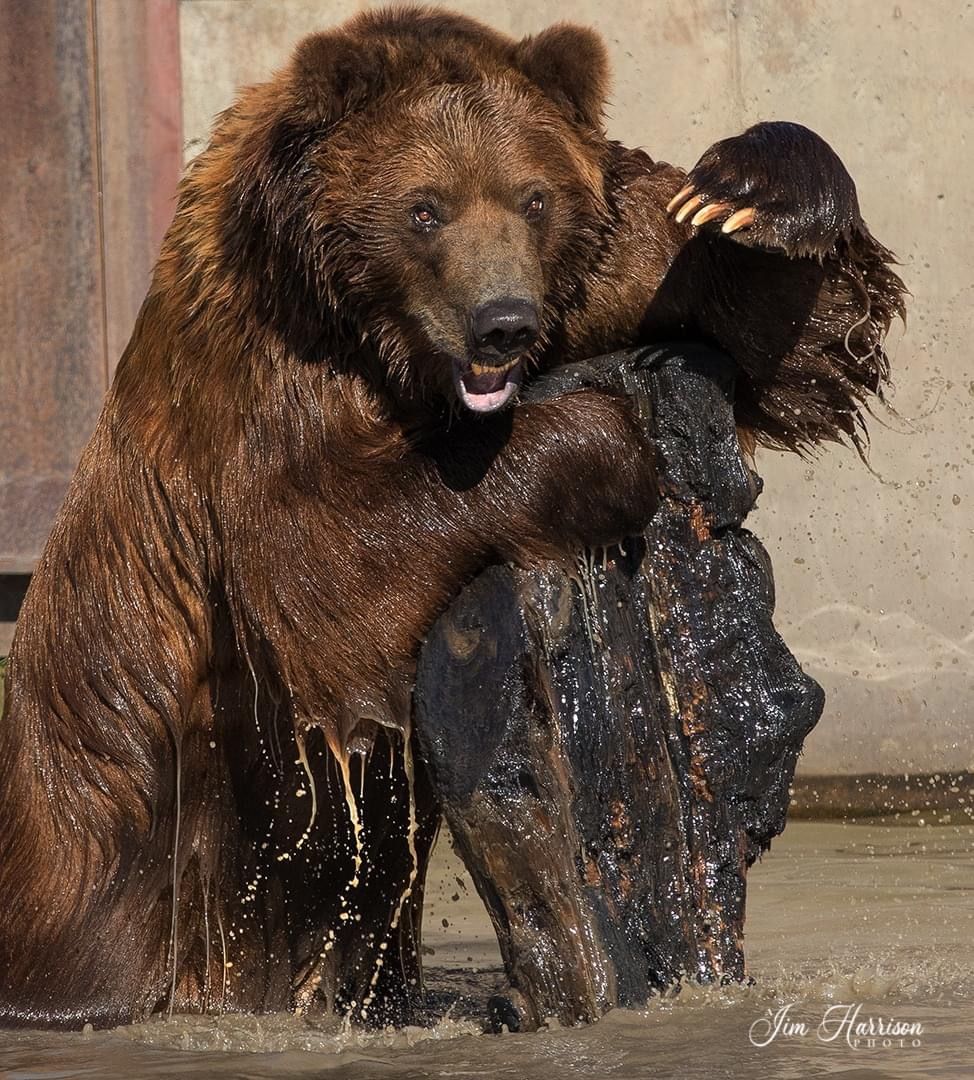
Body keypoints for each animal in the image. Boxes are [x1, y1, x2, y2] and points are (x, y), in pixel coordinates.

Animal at [0, 6, 905, 1029]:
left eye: (533, 198)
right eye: (423, 208)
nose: (502, 324)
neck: (374, 339)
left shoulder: (599, 274)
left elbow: (791, 341)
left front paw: (750, 191)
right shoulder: (256, 380)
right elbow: (321, 564)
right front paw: (606, 441)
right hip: (109, 850)